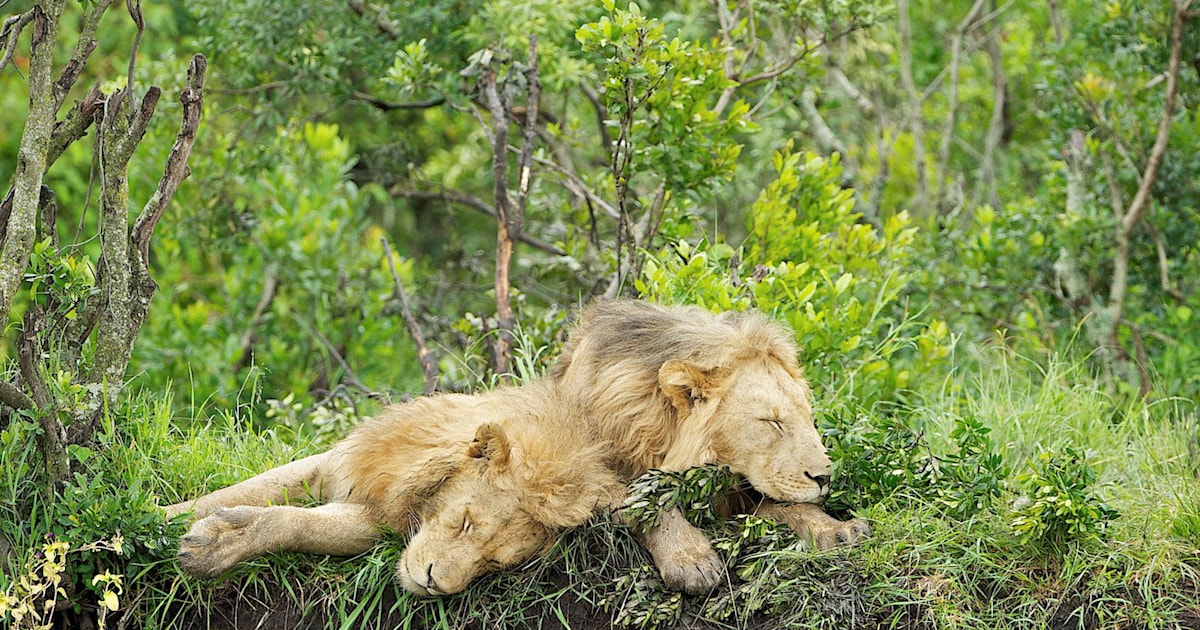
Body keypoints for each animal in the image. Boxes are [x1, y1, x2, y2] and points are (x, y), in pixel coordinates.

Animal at [165, 381, 623, 596]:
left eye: (494, 564)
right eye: (465, 523)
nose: (436, 584)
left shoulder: (374, 520)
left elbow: (298, 525)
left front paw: (220, 541)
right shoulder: (337, 465)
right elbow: (237, 492)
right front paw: (160, 517)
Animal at [549, 299, 870, 594]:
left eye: (809, 418)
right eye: (772, 422)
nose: (825, 478)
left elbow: (795, 508)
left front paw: (840, 530)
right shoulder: (583, 467)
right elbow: (644, 503)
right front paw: (691, 560)